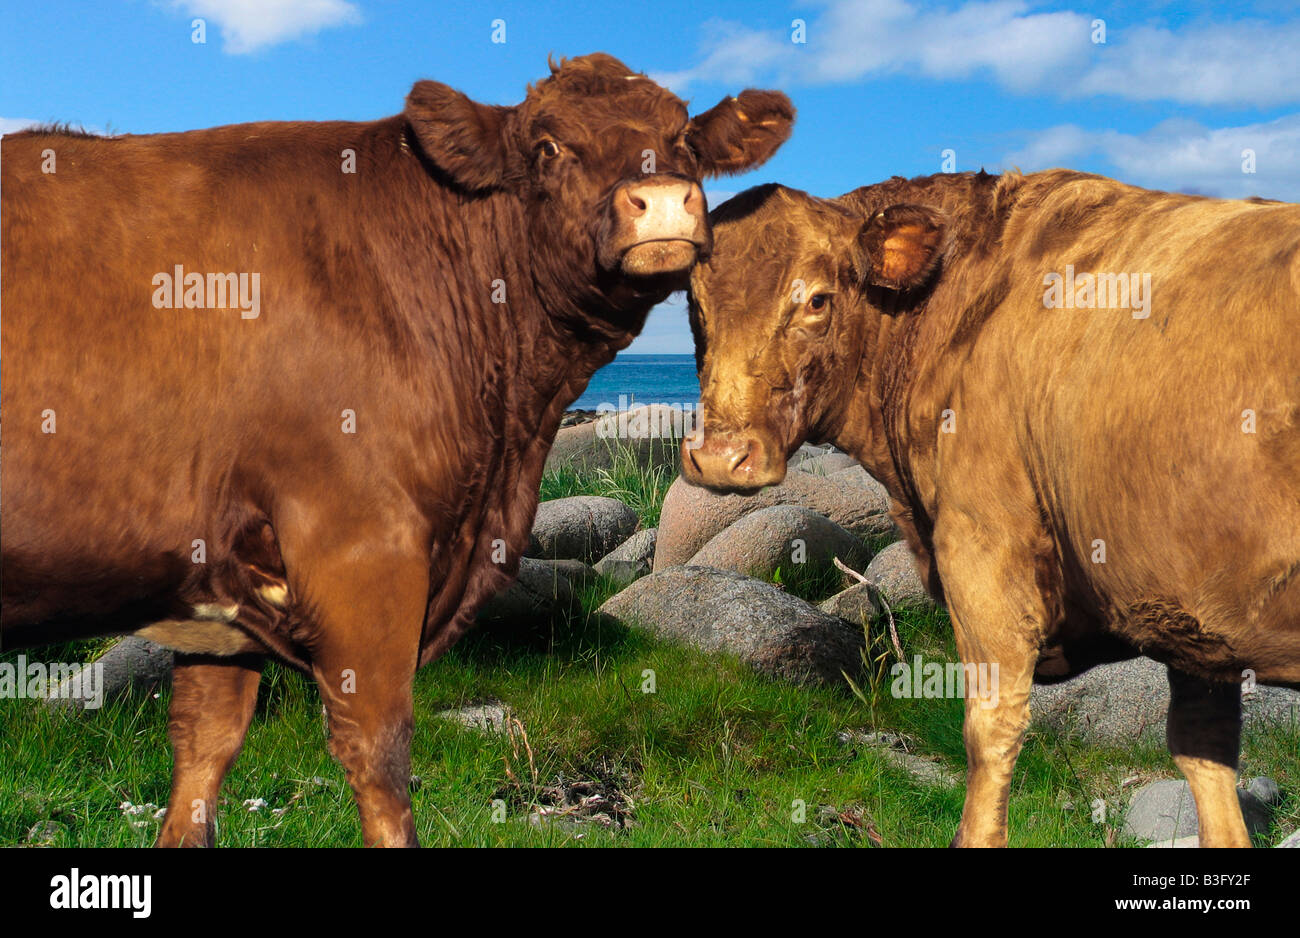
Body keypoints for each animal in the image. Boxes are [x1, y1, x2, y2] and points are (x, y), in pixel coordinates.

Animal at [0, 53, 793, 847]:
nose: (662, 202)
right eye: (547, 147)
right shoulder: (360, 546)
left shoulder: (219, 592)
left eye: (684, 139)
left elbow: (203, 747)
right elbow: (379, 755)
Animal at [683, 171, 1300, 847]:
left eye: (818, 300)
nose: (720, 456)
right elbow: (1204, 754)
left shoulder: (983, 547)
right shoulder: (1192, 609)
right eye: (694, 305)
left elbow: (989, 727)